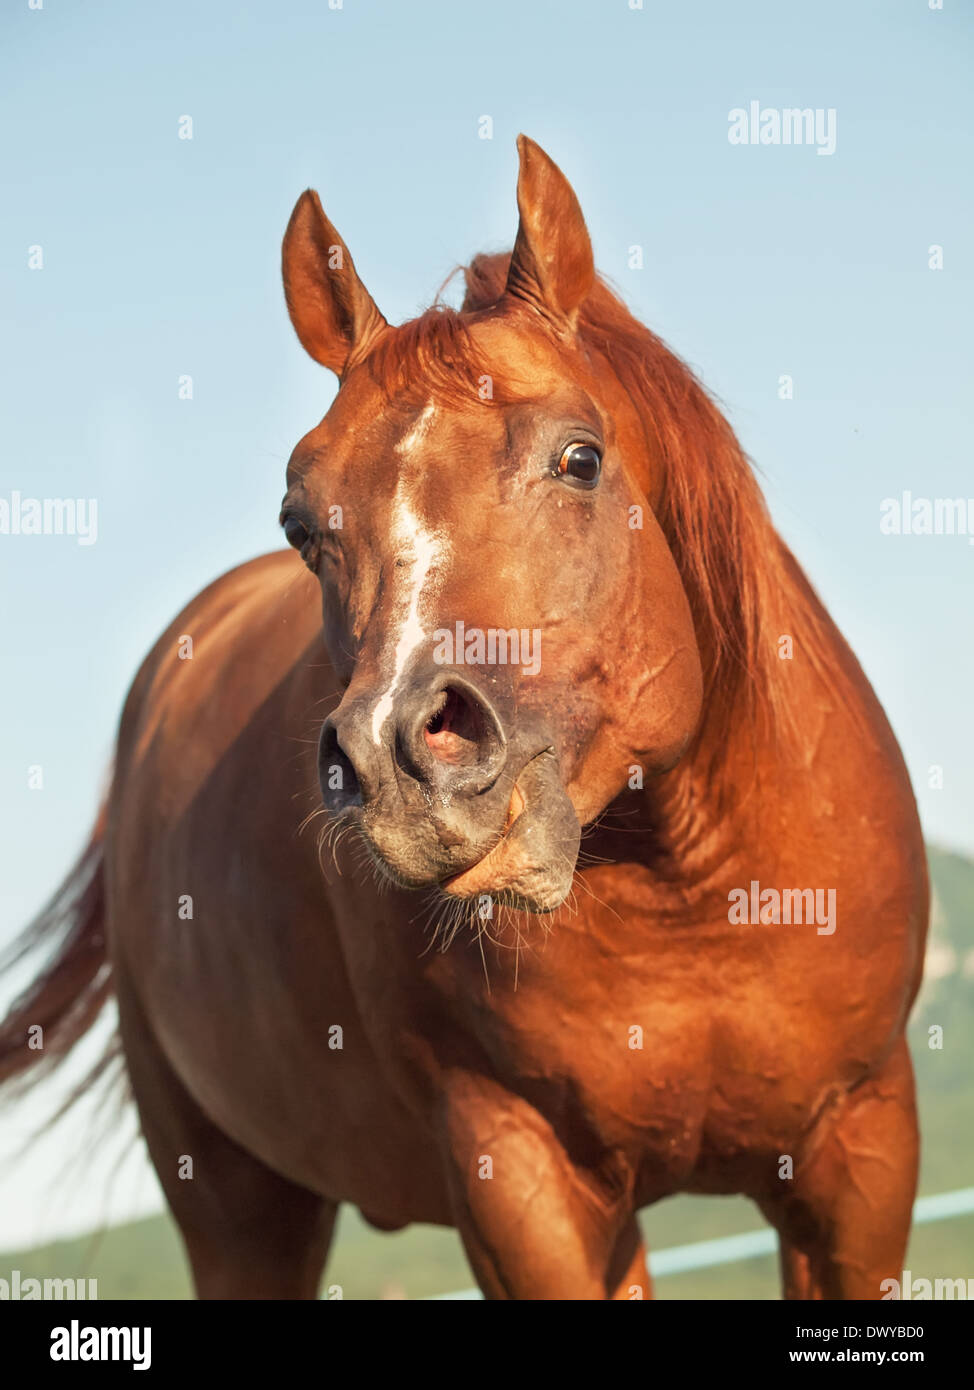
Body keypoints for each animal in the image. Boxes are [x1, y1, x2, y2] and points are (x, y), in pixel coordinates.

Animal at [0, 136, 928, 1300]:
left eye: (579, 458)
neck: (690, 902)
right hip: (234, 1202)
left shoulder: (858, 1154)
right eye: (301, 523)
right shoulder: (521, 1181)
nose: (400, 765)